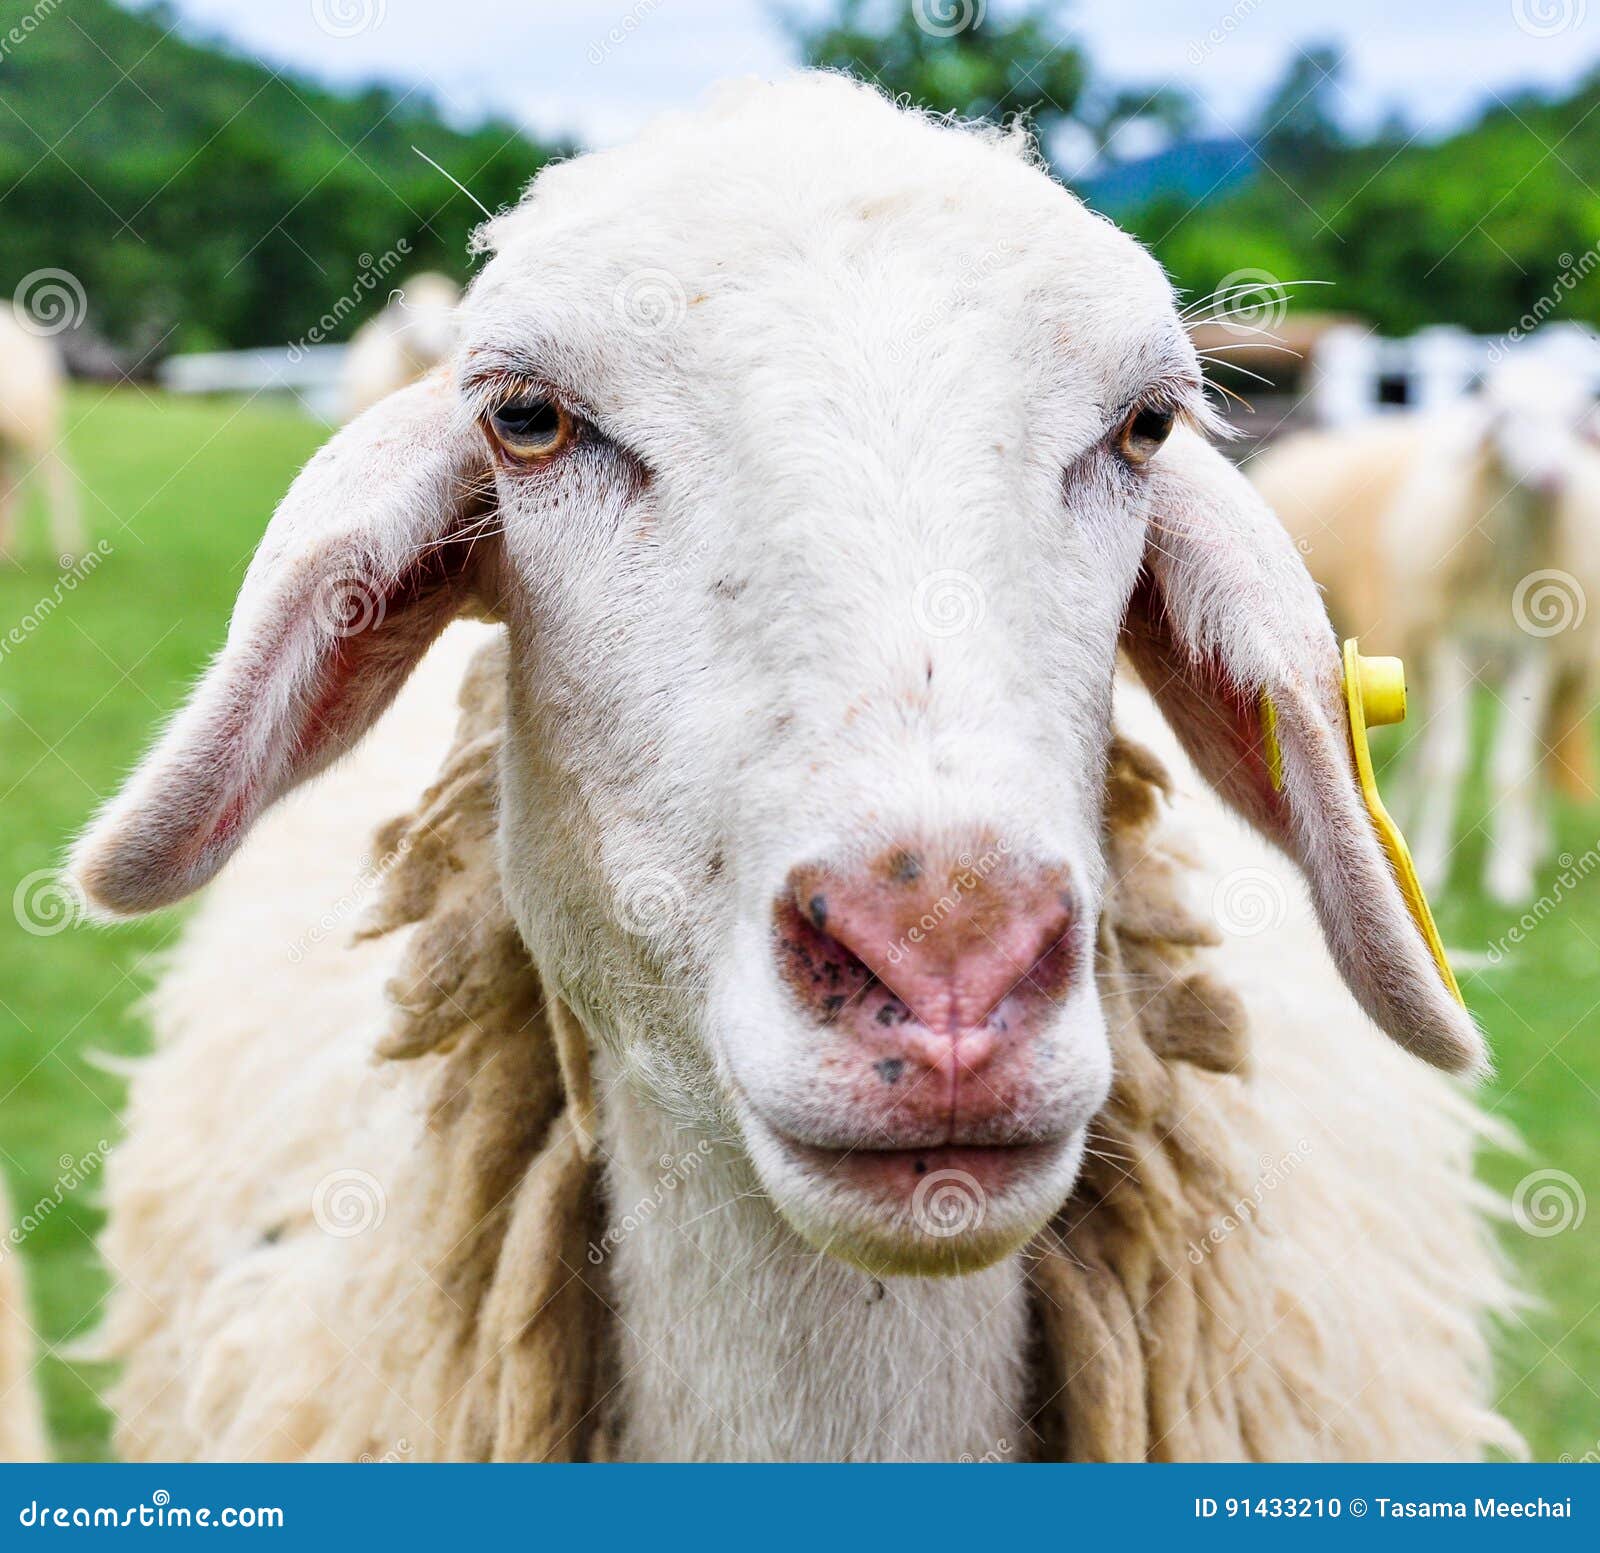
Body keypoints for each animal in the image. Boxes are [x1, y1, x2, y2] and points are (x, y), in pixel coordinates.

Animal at [1253, 360, 1600, 905]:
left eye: (1575, 418)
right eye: (1506, 415)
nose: (1555, 479)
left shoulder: (1536, 655)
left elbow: (1512, 766)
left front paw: (1508, 877)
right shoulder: (1447, 645)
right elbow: (1446, 761)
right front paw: (1433, 866)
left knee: (1543, 753)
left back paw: (1532, 844)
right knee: (1424, 747)